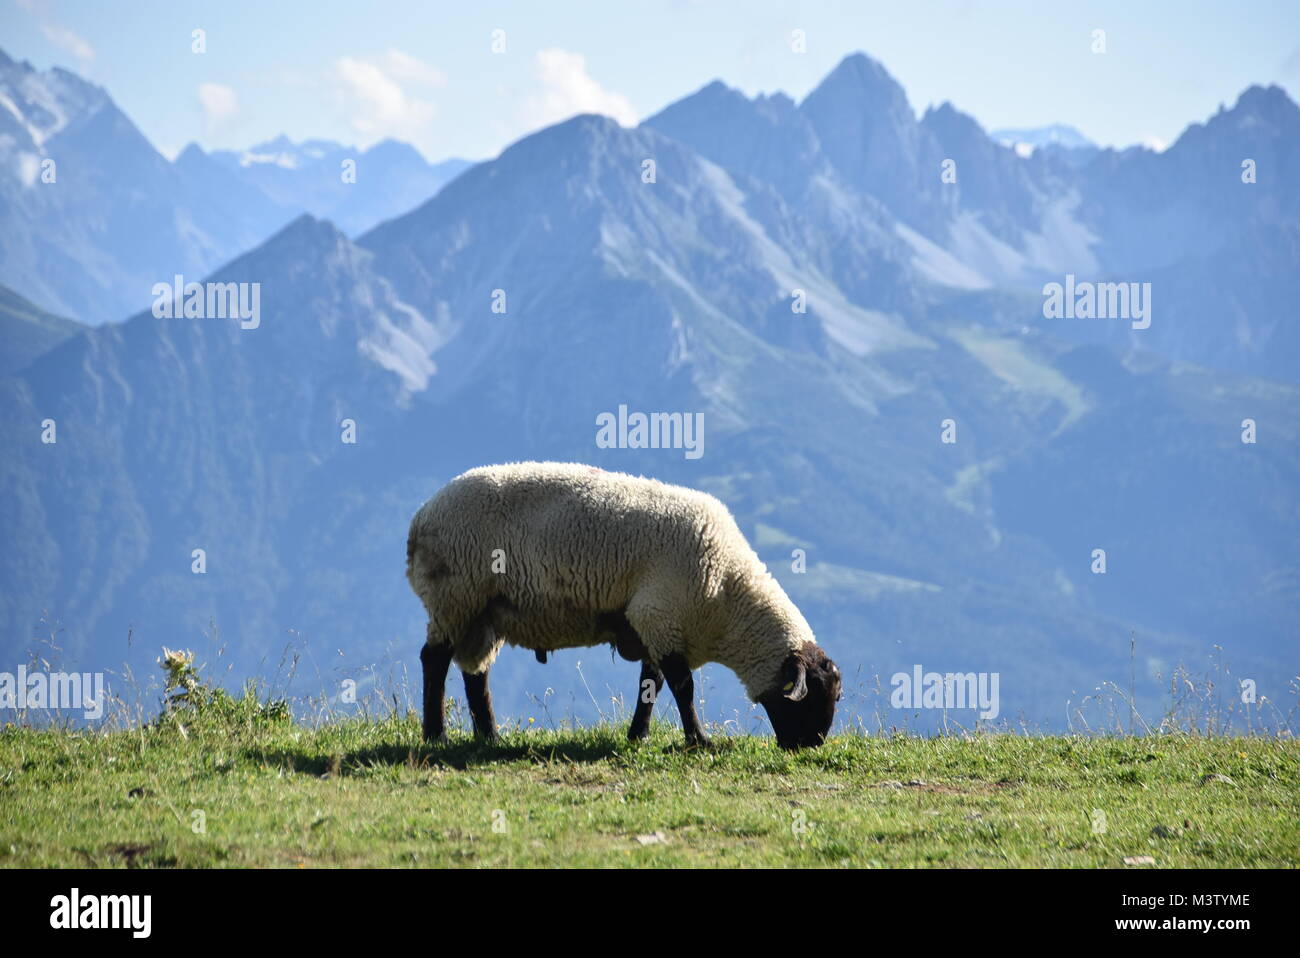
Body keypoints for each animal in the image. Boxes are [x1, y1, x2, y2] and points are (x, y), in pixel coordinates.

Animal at [406, 462, 842, 749]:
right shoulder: (659, 615)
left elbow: (652, 684)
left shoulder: (658, 625)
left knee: (474, 673)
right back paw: (436, 734)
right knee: (435, 659)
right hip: (455, 596)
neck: (728, 597)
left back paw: (490, 736)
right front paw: (698, 740)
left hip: (485, 612)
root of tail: (420, 517)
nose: (812, 745)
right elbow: (683, 687)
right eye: (821, 695)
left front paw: (639, 735)